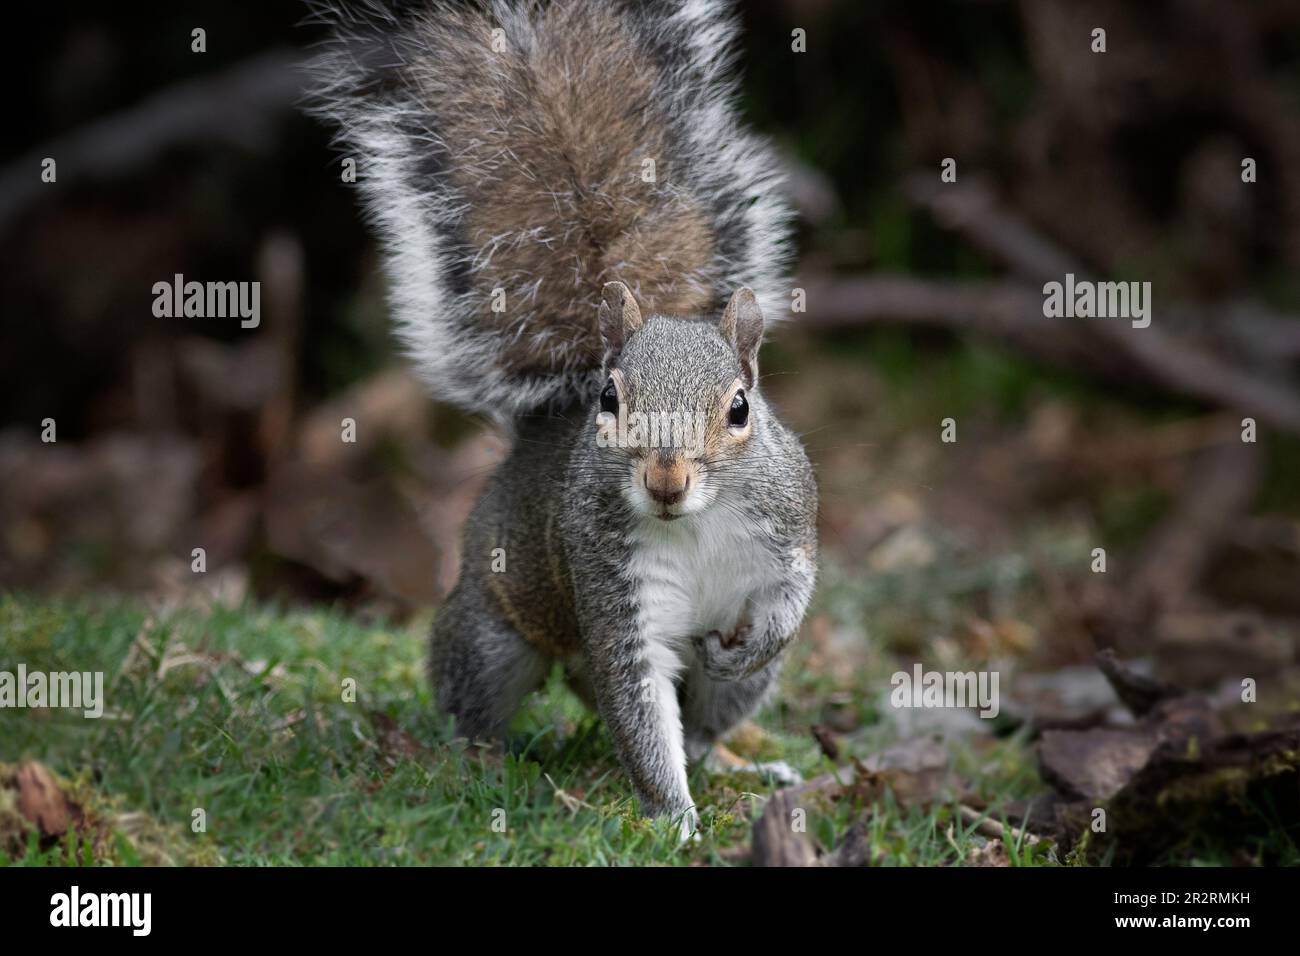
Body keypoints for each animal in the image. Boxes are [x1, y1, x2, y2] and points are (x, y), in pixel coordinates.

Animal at [308, 0, 818, 834]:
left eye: (740, 409)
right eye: (612, 401)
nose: (666, 482)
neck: (698, 521)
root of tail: (546, 425)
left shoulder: (788, 531)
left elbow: (788, 607)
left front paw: (744, 651)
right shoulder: (614, 591)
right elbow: (639, 712)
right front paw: (675, 820)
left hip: (730, 692)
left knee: (706, 721)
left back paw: (744, 764)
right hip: (492, 629)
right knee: (478, 690)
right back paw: (479, 757)